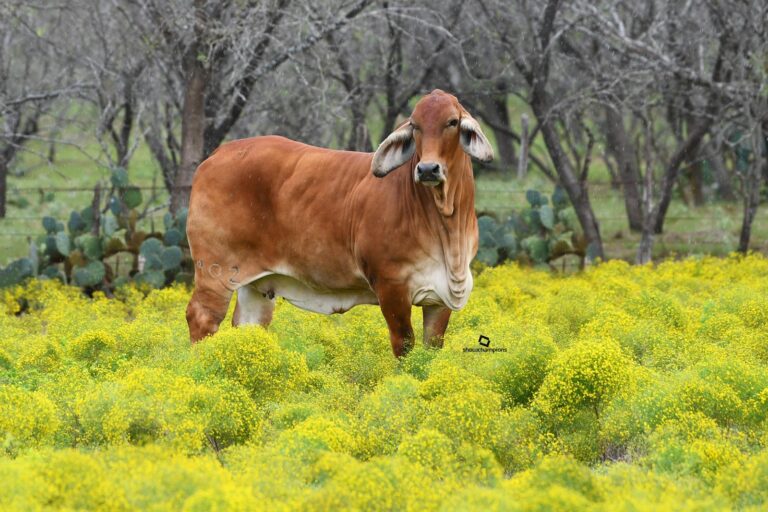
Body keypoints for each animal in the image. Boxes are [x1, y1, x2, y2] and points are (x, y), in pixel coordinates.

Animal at [185, 89, 494, 357]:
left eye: (452, 122)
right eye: (415, 125)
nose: (427, 169)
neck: (446, 225)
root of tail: (219, 153)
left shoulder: (440, 298)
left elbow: (431, 350)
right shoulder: (391, 287)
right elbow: (404, 345)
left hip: (256, 286)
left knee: (248, 327)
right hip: (215, 272)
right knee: (201, 318)